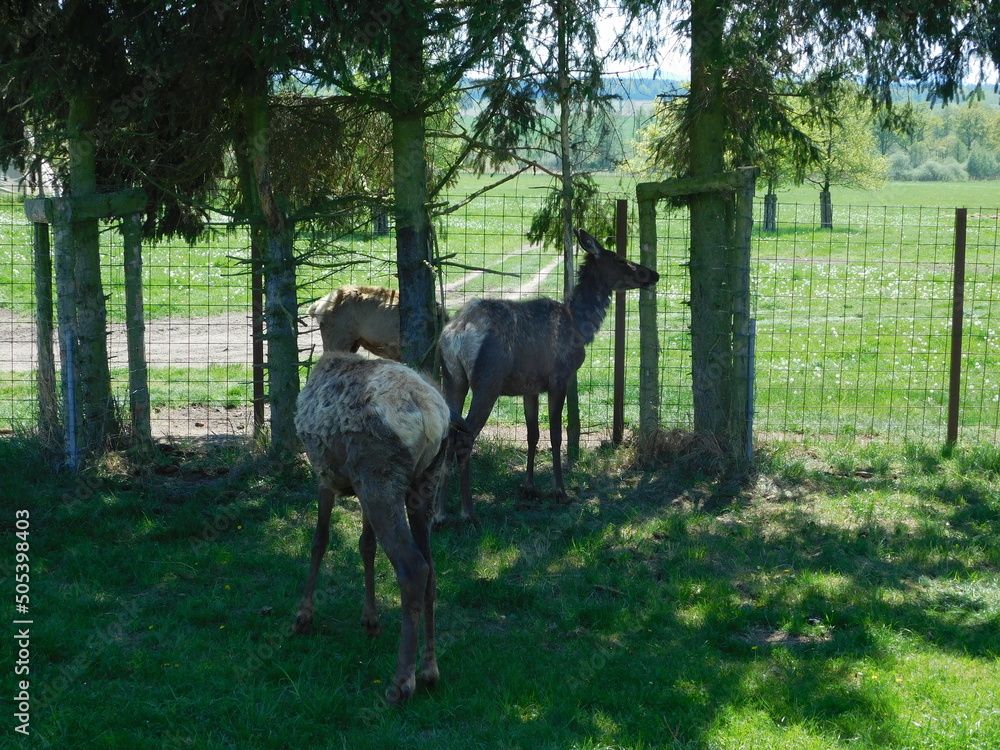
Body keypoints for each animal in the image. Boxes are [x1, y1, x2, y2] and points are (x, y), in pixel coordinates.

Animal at [292, 350, 464, 703]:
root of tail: (430, 415)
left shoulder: (325, 475)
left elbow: (320, 540)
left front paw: (303, 616)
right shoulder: (357, 486)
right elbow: (365, 545)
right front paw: (370, 619)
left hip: (379, 476)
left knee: (413, 567)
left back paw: (402, 682)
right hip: (421, 482)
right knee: (431, 568)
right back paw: (429, 670)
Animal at [434, 228, 659, 527]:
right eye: (621, 259)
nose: (653, 274)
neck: (579, 327)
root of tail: (457, 332)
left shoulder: (530, 387)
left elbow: (533, 435)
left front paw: (528, 488)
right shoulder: (559, 377)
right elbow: (555, 435)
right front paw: (560, 491)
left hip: (452, 377)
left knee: (448, 434)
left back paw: (439, 512)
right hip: (487, 380)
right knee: (464, 439)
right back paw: (468, 512)